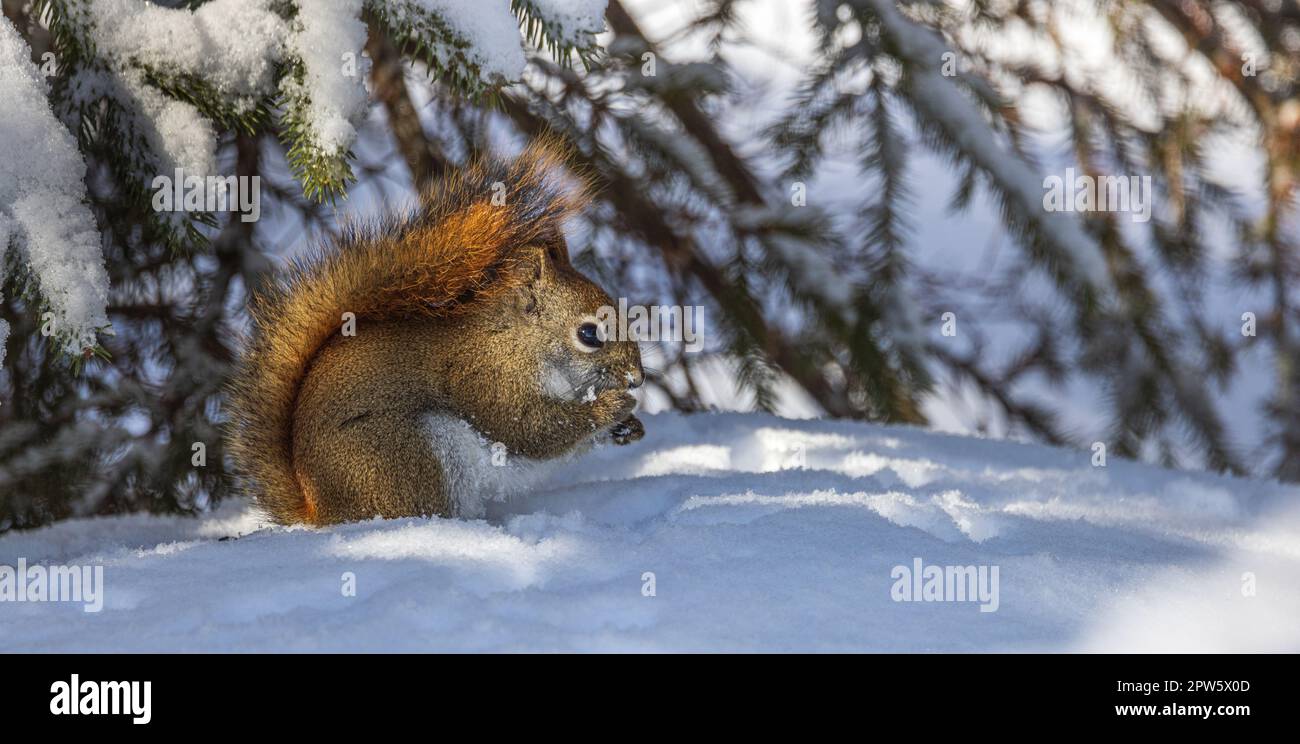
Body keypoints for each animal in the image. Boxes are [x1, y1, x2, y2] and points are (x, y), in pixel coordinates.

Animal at [224, 141, 645, 525]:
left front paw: (629, 427)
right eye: (589, 334)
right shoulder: (484, 377)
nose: (637, 379)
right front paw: (610, 407)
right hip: (408, 456)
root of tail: (320, 512)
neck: (518, 341)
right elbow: (529, 428)